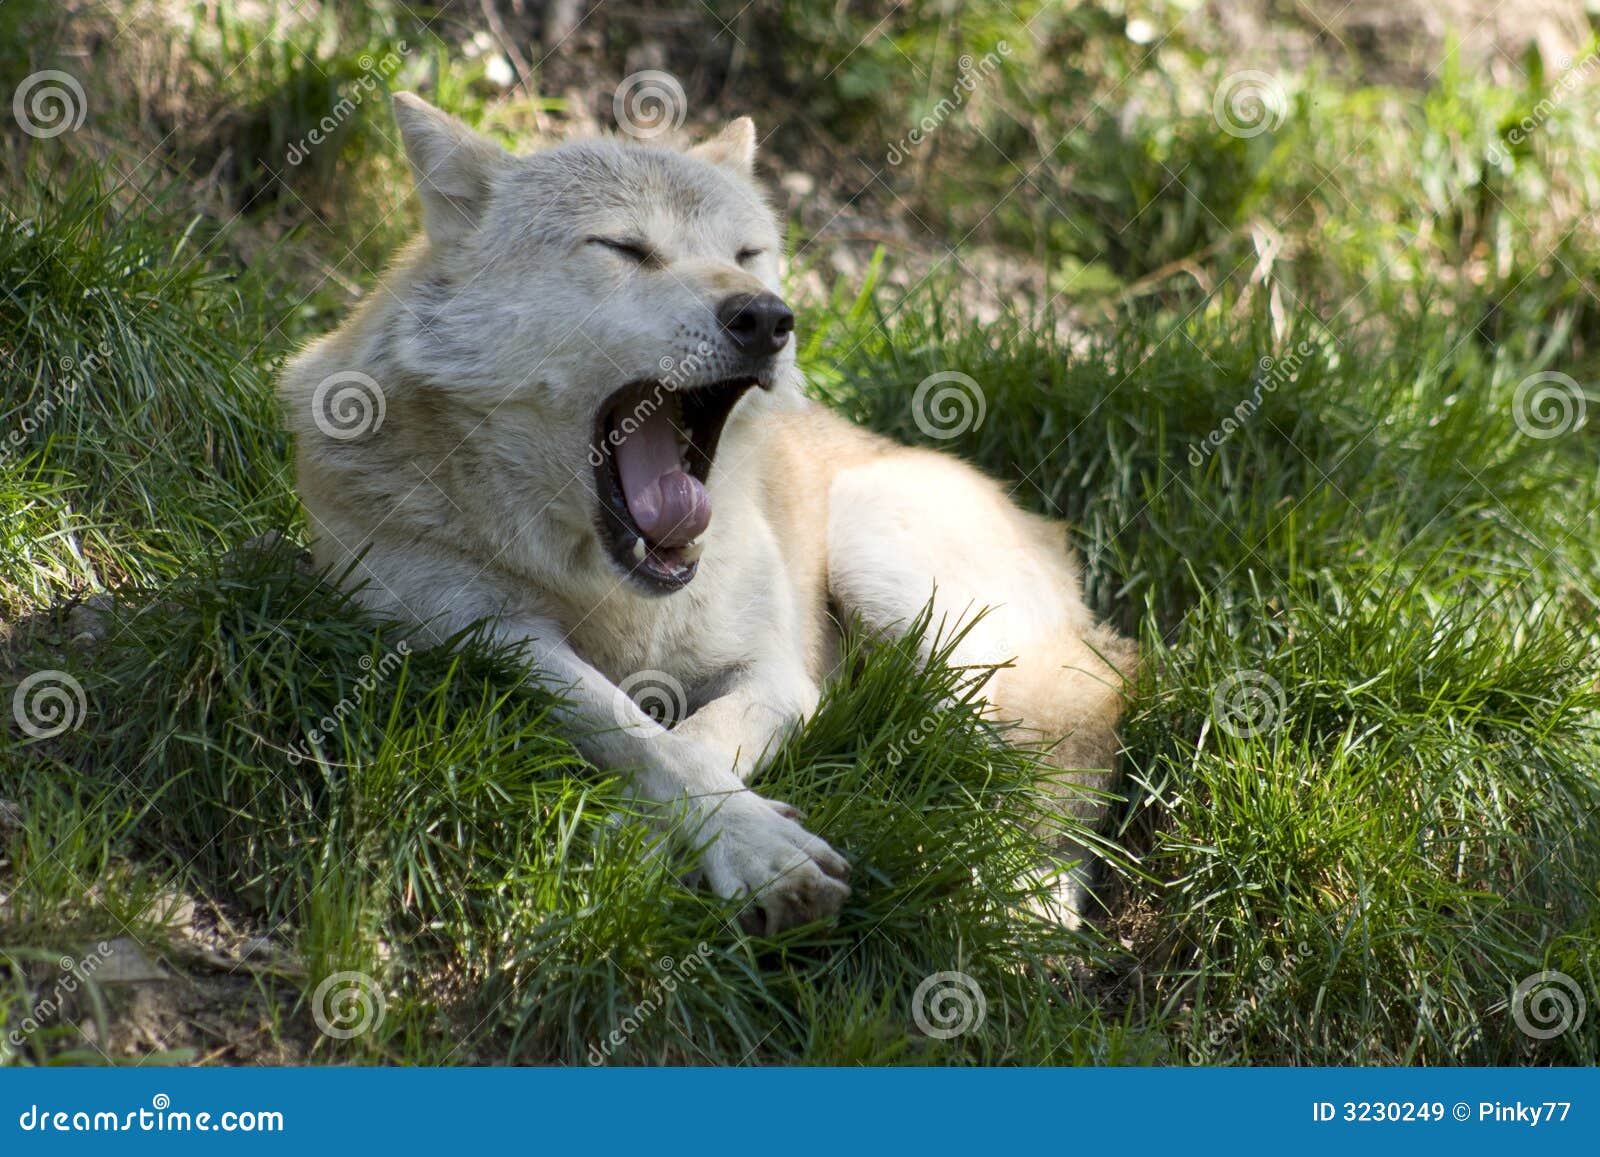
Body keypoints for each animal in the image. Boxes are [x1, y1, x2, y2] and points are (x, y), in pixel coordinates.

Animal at [278, 92, 1137, 934]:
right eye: (624, 247)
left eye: (747, 254)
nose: (764, 317)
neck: (615, 593)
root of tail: (1054, 537)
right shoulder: (478, 630)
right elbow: (639, 731)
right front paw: (731, 849)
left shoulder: (777, 676)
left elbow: (695, 738)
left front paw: (652, 847)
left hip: (909, 599)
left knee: (1052, 760)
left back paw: (1031, 901)